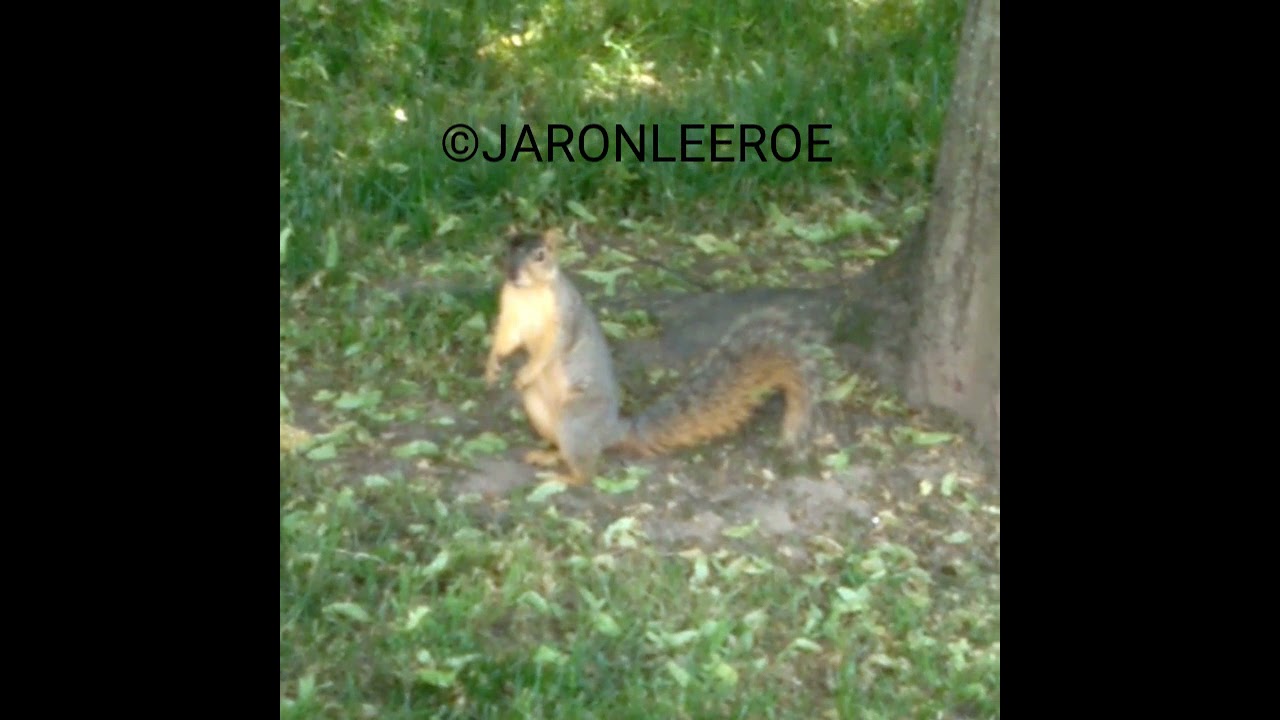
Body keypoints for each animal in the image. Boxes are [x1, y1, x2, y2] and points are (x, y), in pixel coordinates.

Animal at [484, 227, 824, 485]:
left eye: (540, 255)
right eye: (508, 251)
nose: (513, 273)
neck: (528, 293)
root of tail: (610, 430)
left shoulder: (564, 319)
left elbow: (550, 350)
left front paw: (525, 372)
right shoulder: (510, 316)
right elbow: (504, 341)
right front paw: (491, 367)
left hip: (576, 418)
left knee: (587, 468)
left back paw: (567, 478)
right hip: (540, 412)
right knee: (566, 447)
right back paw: (547, 455)